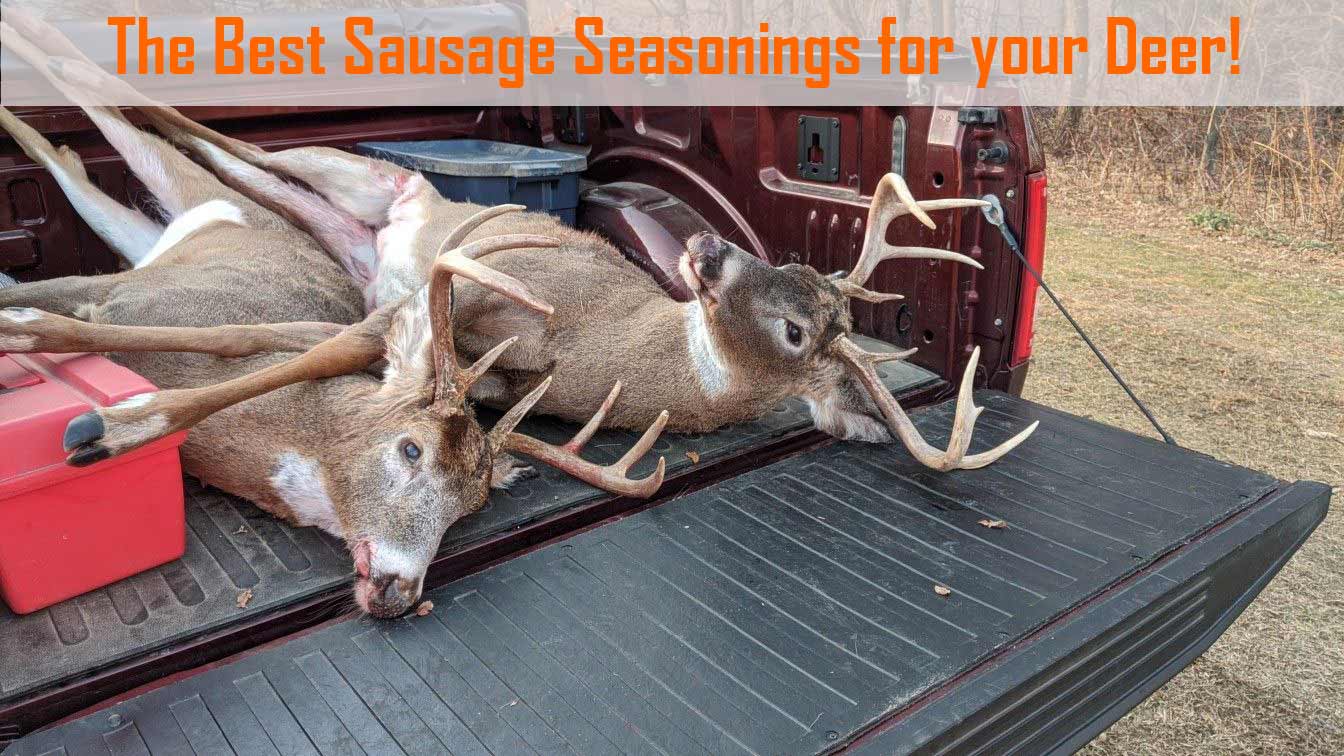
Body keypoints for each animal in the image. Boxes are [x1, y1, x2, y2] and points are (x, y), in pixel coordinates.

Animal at [0, 23, 668, 618]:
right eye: (410, 449)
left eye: (469, 506)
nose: (401, 591)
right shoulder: (140, 299)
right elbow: (225, 338)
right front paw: (98, 408)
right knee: (176, 129)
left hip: (144, 222)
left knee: (76, 158)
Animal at [1, 11, 1036, 473]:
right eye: (788, 273)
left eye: (798, 330)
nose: (709, 253)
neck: (607, 346)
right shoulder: (470, 295)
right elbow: (267, 349)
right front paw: (107, 412)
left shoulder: (443, 341)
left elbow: (275, 346)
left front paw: (101, 407)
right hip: (354, 171)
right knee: (198, 132)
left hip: (347, 226)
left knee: (181, 160)